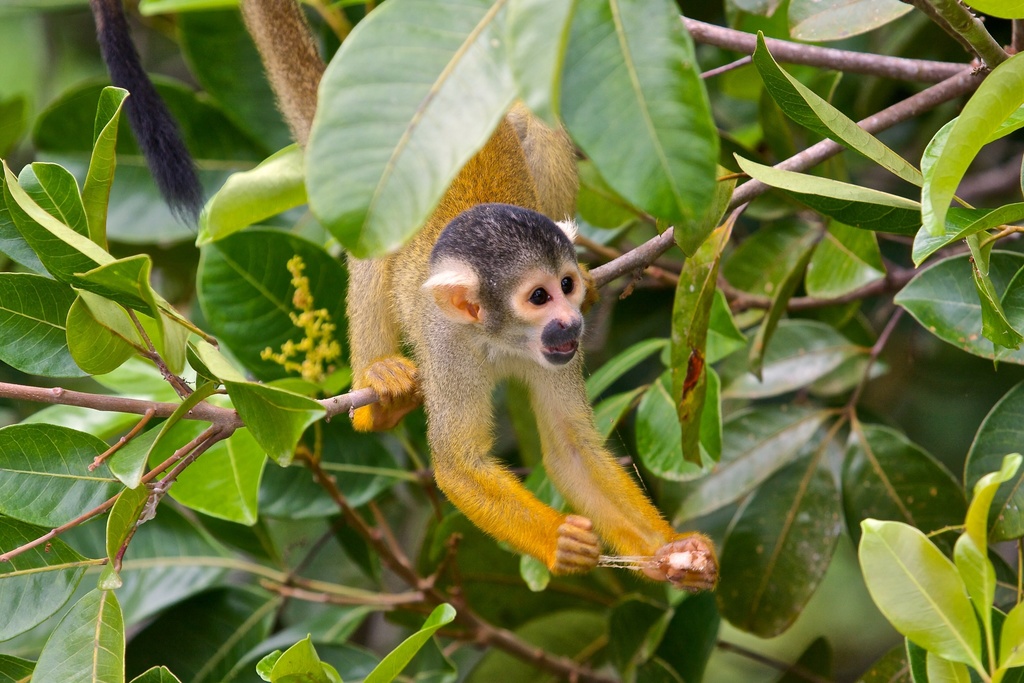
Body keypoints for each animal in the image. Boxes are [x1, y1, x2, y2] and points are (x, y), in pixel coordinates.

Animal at [240, 0, 719, 589]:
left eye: (562, 286)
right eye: (538, 298)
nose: (571, 317)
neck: (500, 340)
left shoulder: (559, 354)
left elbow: (572, 448)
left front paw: (673, 552)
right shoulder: (448, 346)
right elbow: (457, 463)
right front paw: (559, 543)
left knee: (537, 124)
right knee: (377, 237)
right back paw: (377, 389)